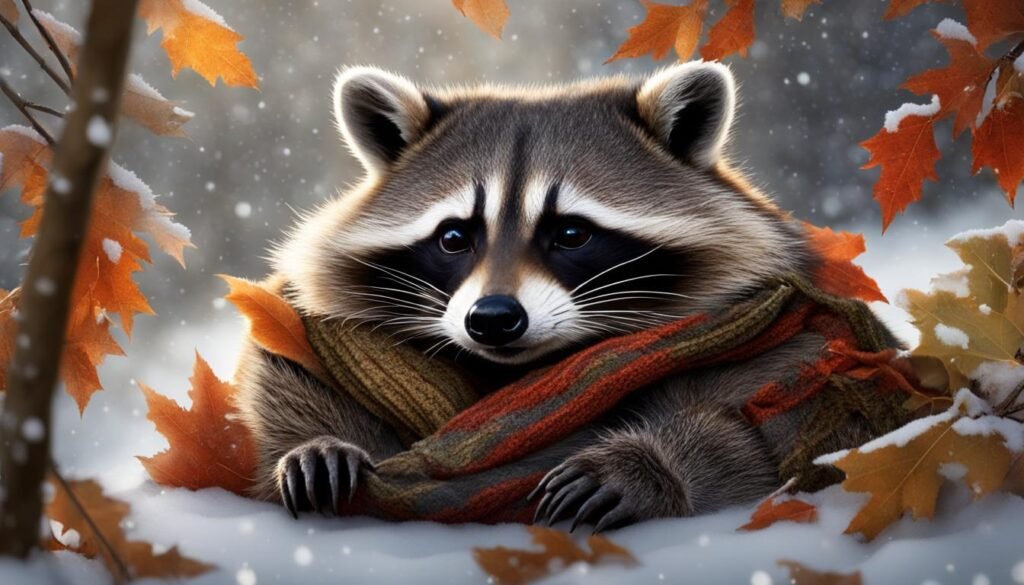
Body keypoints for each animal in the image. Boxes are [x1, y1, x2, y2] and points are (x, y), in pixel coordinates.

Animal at [234, 62, 882, 530]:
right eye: (454, 237)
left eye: (570, 233)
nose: (493, 319)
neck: (521, 379)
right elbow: (287, 374)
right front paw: (318, 445)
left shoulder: (804, 341)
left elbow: (790, 433)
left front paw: (650, 467)